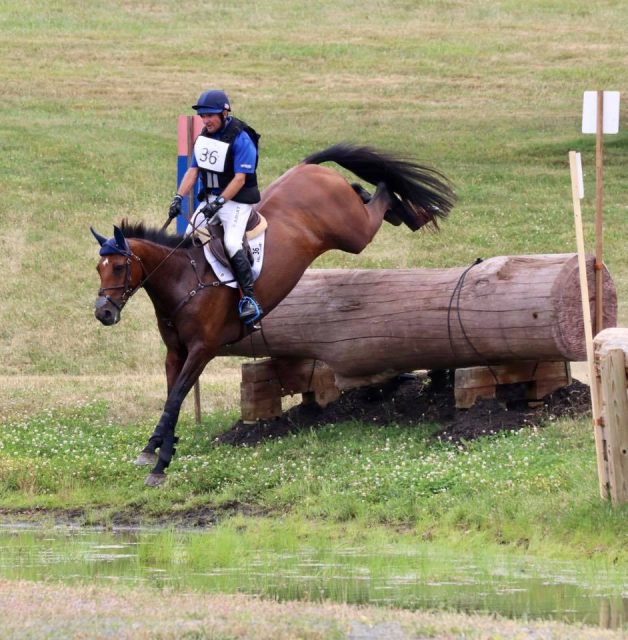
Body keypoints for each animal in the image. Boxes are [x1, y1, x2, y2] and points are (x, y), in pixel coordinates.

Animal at [92, 143, 456, 486]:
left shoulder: (202, 350)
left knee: (380, 193)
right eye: (99, 268)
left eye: (120, 267)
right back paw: (408, 213)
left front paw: (158, 458)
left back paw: (414, 211)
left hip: (353, 233)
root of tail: (308, 167)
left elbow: (176, 398)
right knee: (365, 191)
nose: (103, 313)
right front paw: (157, 451)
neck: (184, 281)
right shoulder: (175, 352)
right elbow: (172, 400)